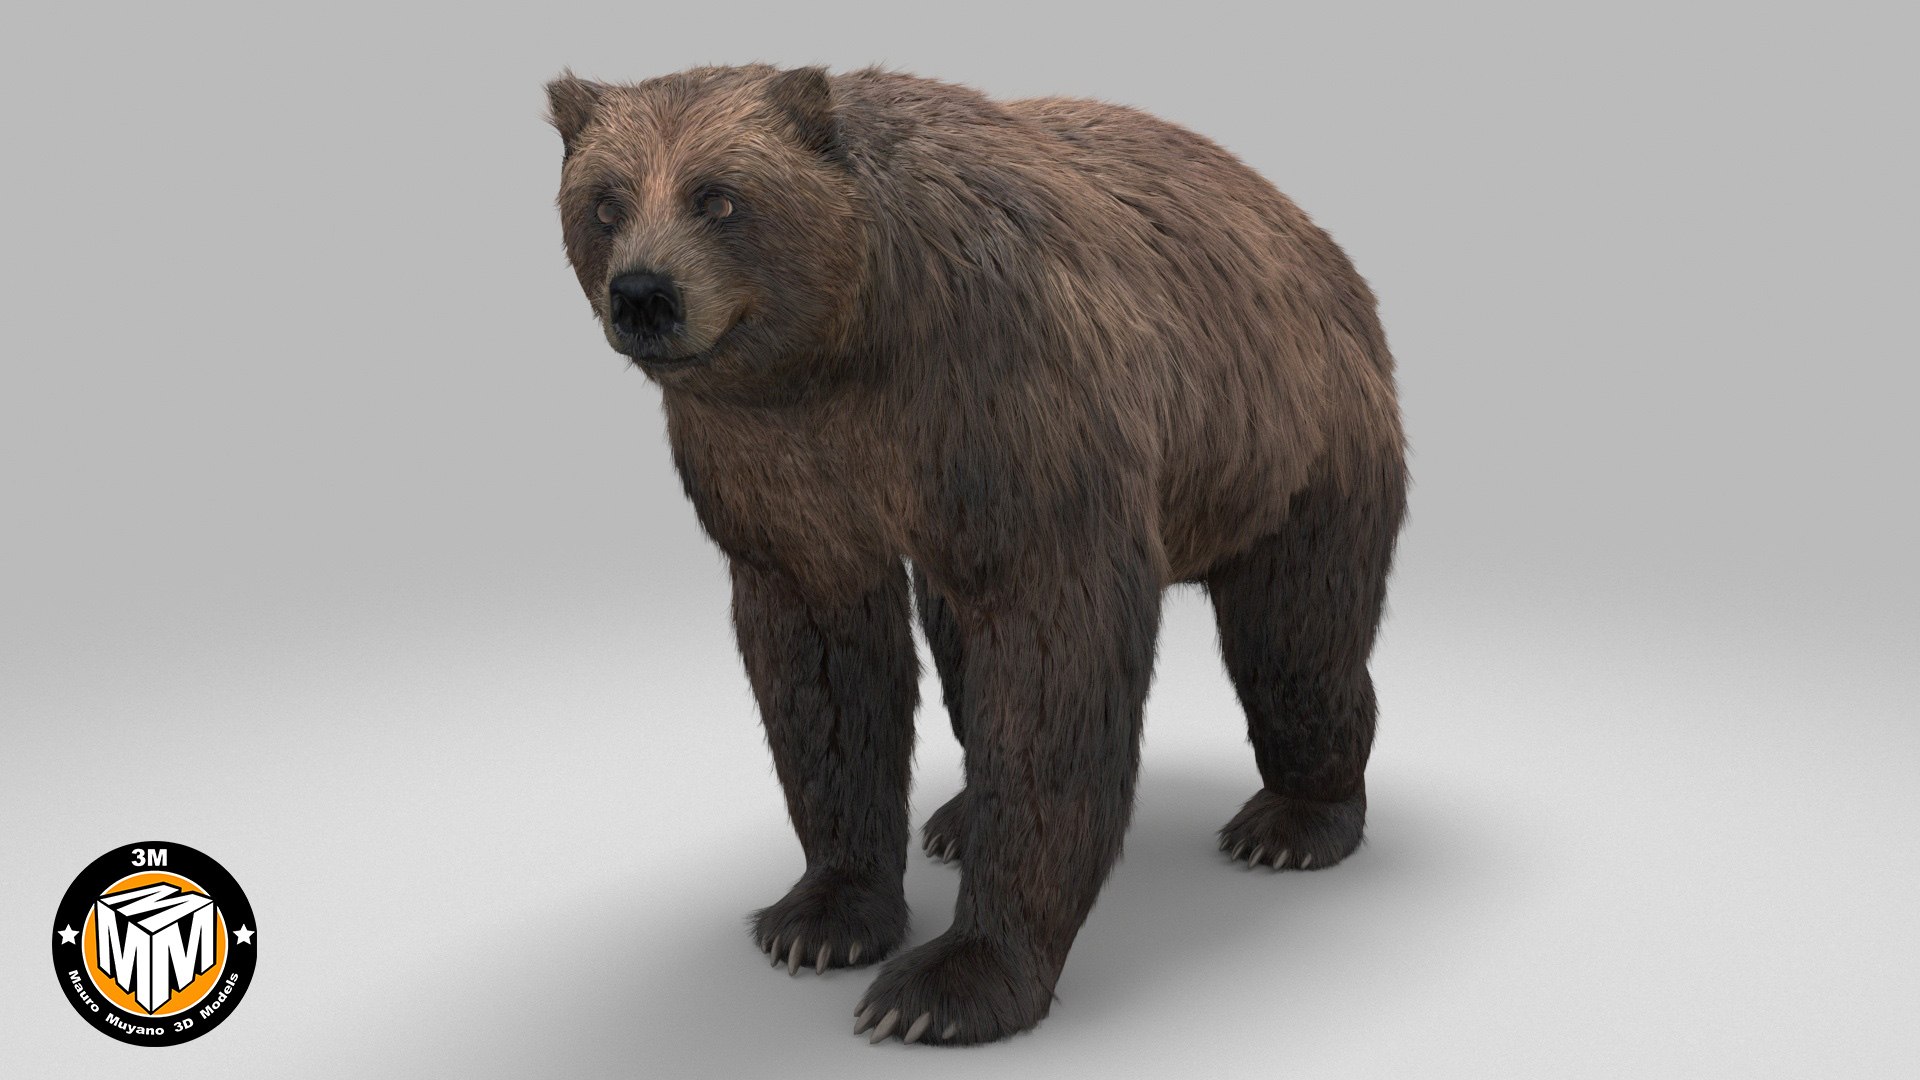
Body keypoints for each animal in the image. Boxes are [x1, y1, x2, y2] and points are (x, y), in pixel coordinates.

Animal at [544, 63, 1408, 1046]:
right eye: (605, 201)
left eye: (718, 196)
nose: (644, 295)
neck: (840, 342)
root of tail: (1311, 233)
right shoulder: (774, 455)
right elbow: (824, 668)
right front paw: (825, 916)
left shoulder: (1008, 388)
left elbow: (1051, 664)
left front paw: (952, 983)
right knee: (959, 643)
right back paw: (956, 819)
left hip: (1296, 435)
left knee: (1297, 638)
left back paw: (1294, 822)